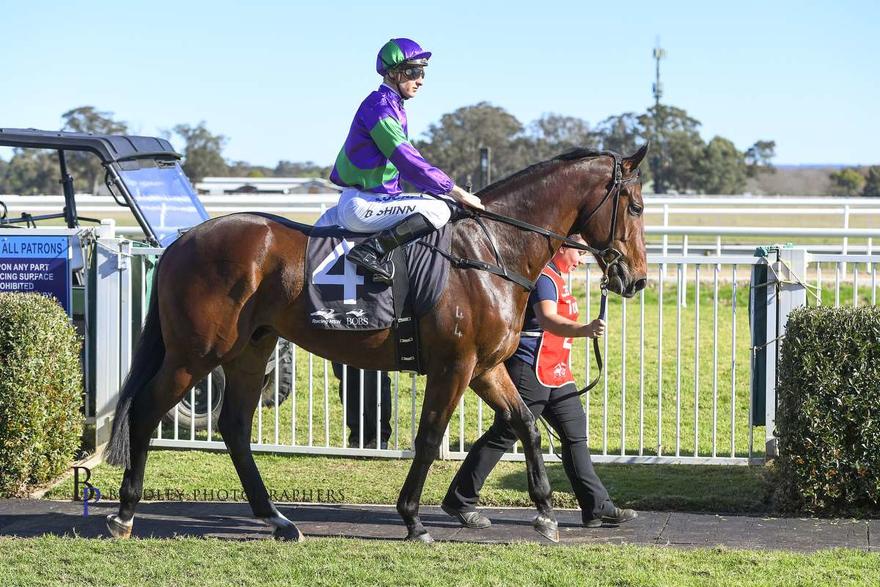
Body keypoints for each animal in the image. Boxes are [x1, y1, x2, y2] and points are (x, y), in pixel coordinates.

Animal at [103, 146, 649, 543]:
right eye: (636, 206)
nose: (636, 279)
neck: (487, 250)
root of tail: (183, 238)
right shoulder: (454, 366)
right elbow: (428, 439)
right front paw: (412, 518)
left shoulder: (486, 367)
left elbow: (526, 426)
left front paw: (546, 513)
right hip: (196, 354)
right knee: (147, 409)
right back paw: (125, 512)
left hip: (250, 351)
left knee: (234, 426)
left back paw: (276, 518)